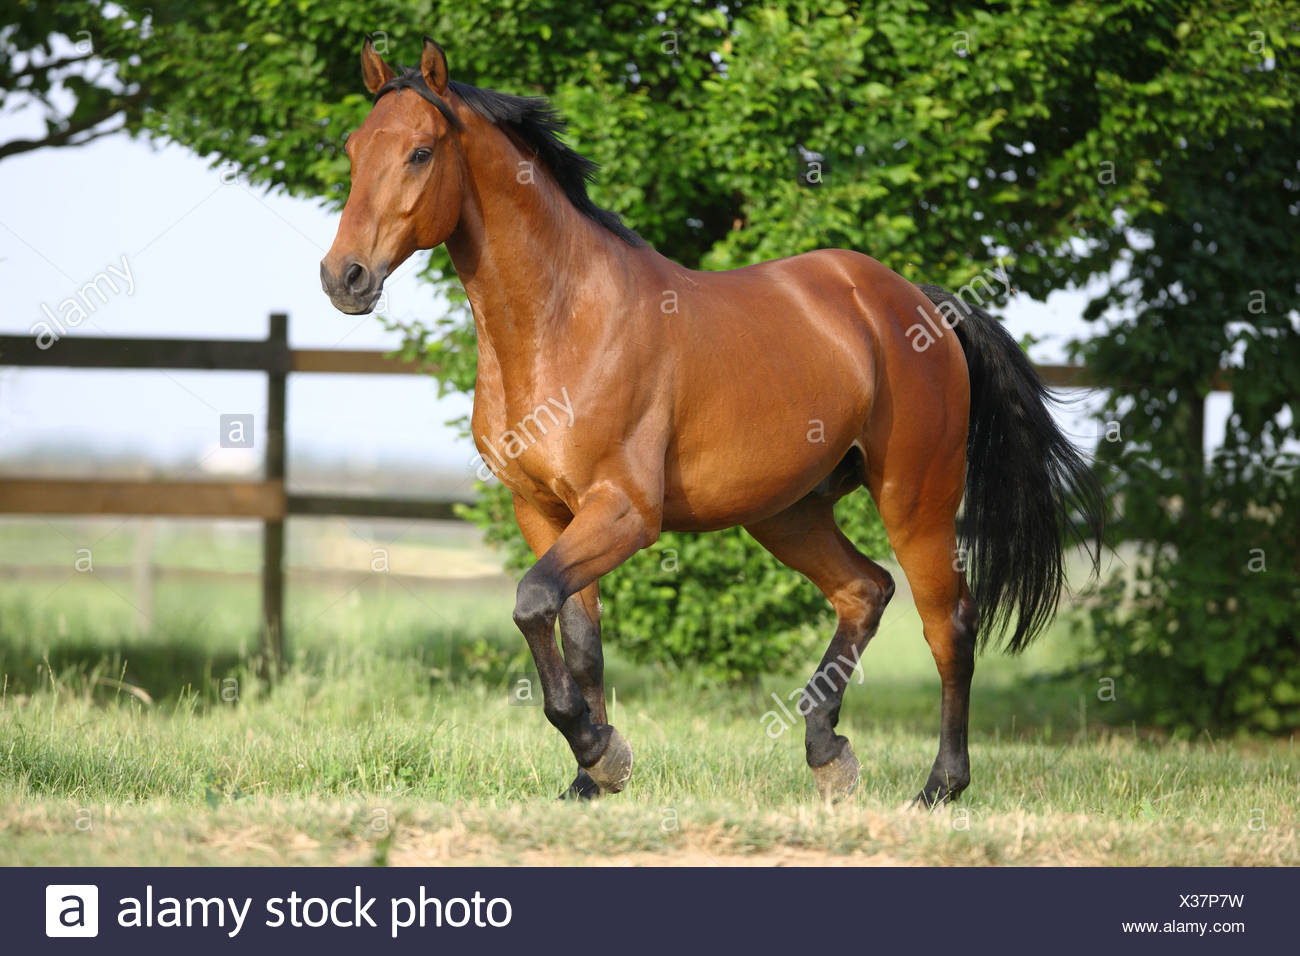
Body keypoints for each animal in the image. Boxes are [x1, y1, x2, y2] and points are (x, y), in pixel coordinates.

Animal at [321, 37, 1105, 807]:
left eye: (421, 152)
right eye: (354, 149)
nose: (343, 277)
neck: (564, 320)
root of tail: (919, 305)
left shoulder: (625, 512)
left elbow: (533, 601)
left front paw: (602, 754)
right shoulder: (542, 511)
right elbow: (574, 637)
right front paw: (591, 778)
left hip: (916, 501)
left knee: (948, 625)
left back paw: (939, 787)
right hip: (787, 512)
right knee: (865, 591)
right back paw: (828, 753)